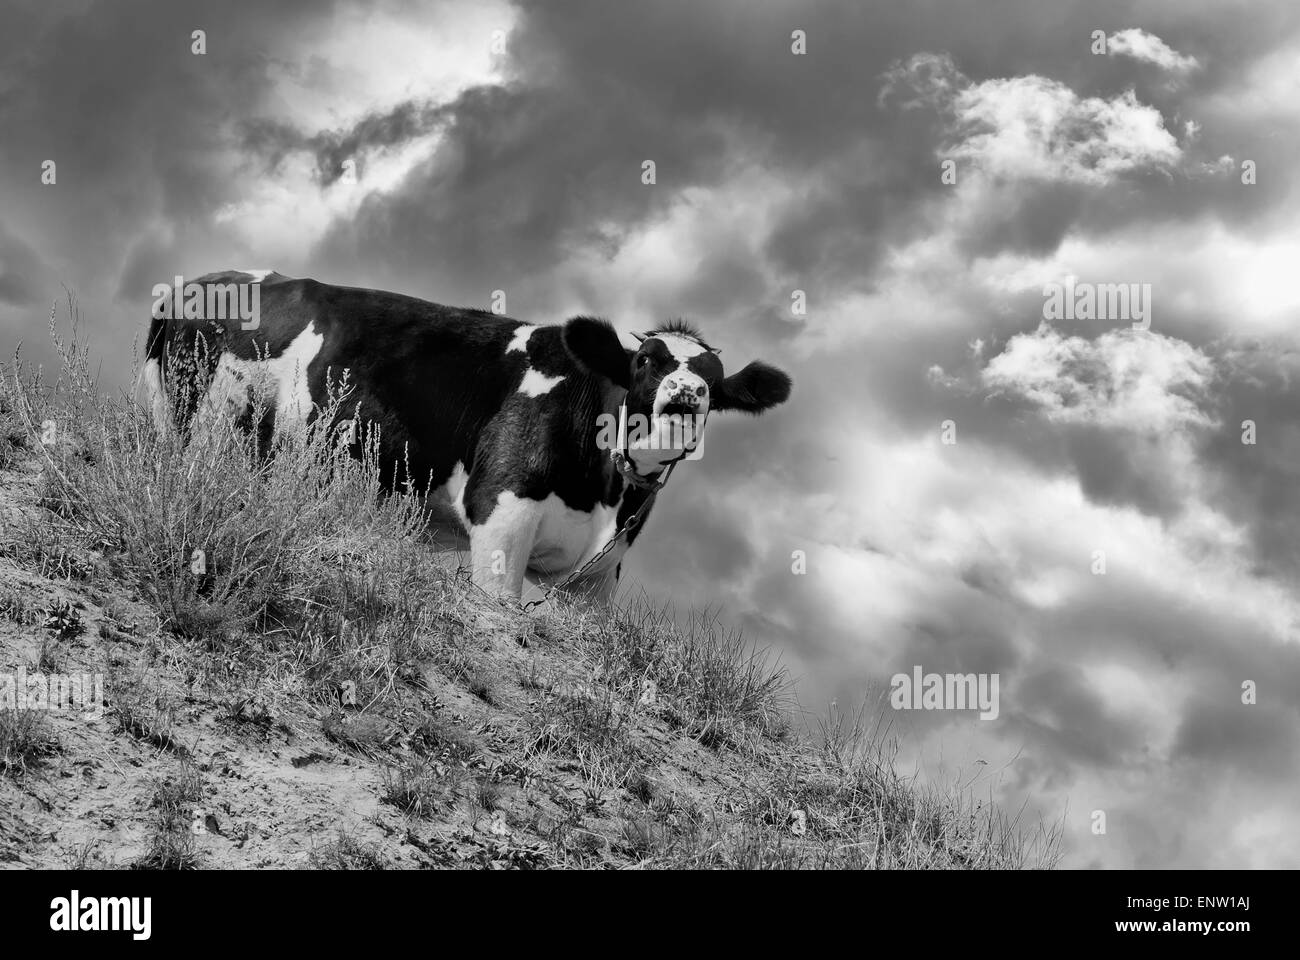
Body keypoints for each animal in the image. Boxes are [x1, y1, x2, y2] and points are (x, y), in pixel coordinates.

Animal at [138, 271, 792, 603]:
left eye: (714, 383)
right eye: (645, 362)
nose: (687, 395)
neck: (608, 496)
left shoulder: (599, 578)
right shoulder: (500, 512)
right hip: (208, 419)